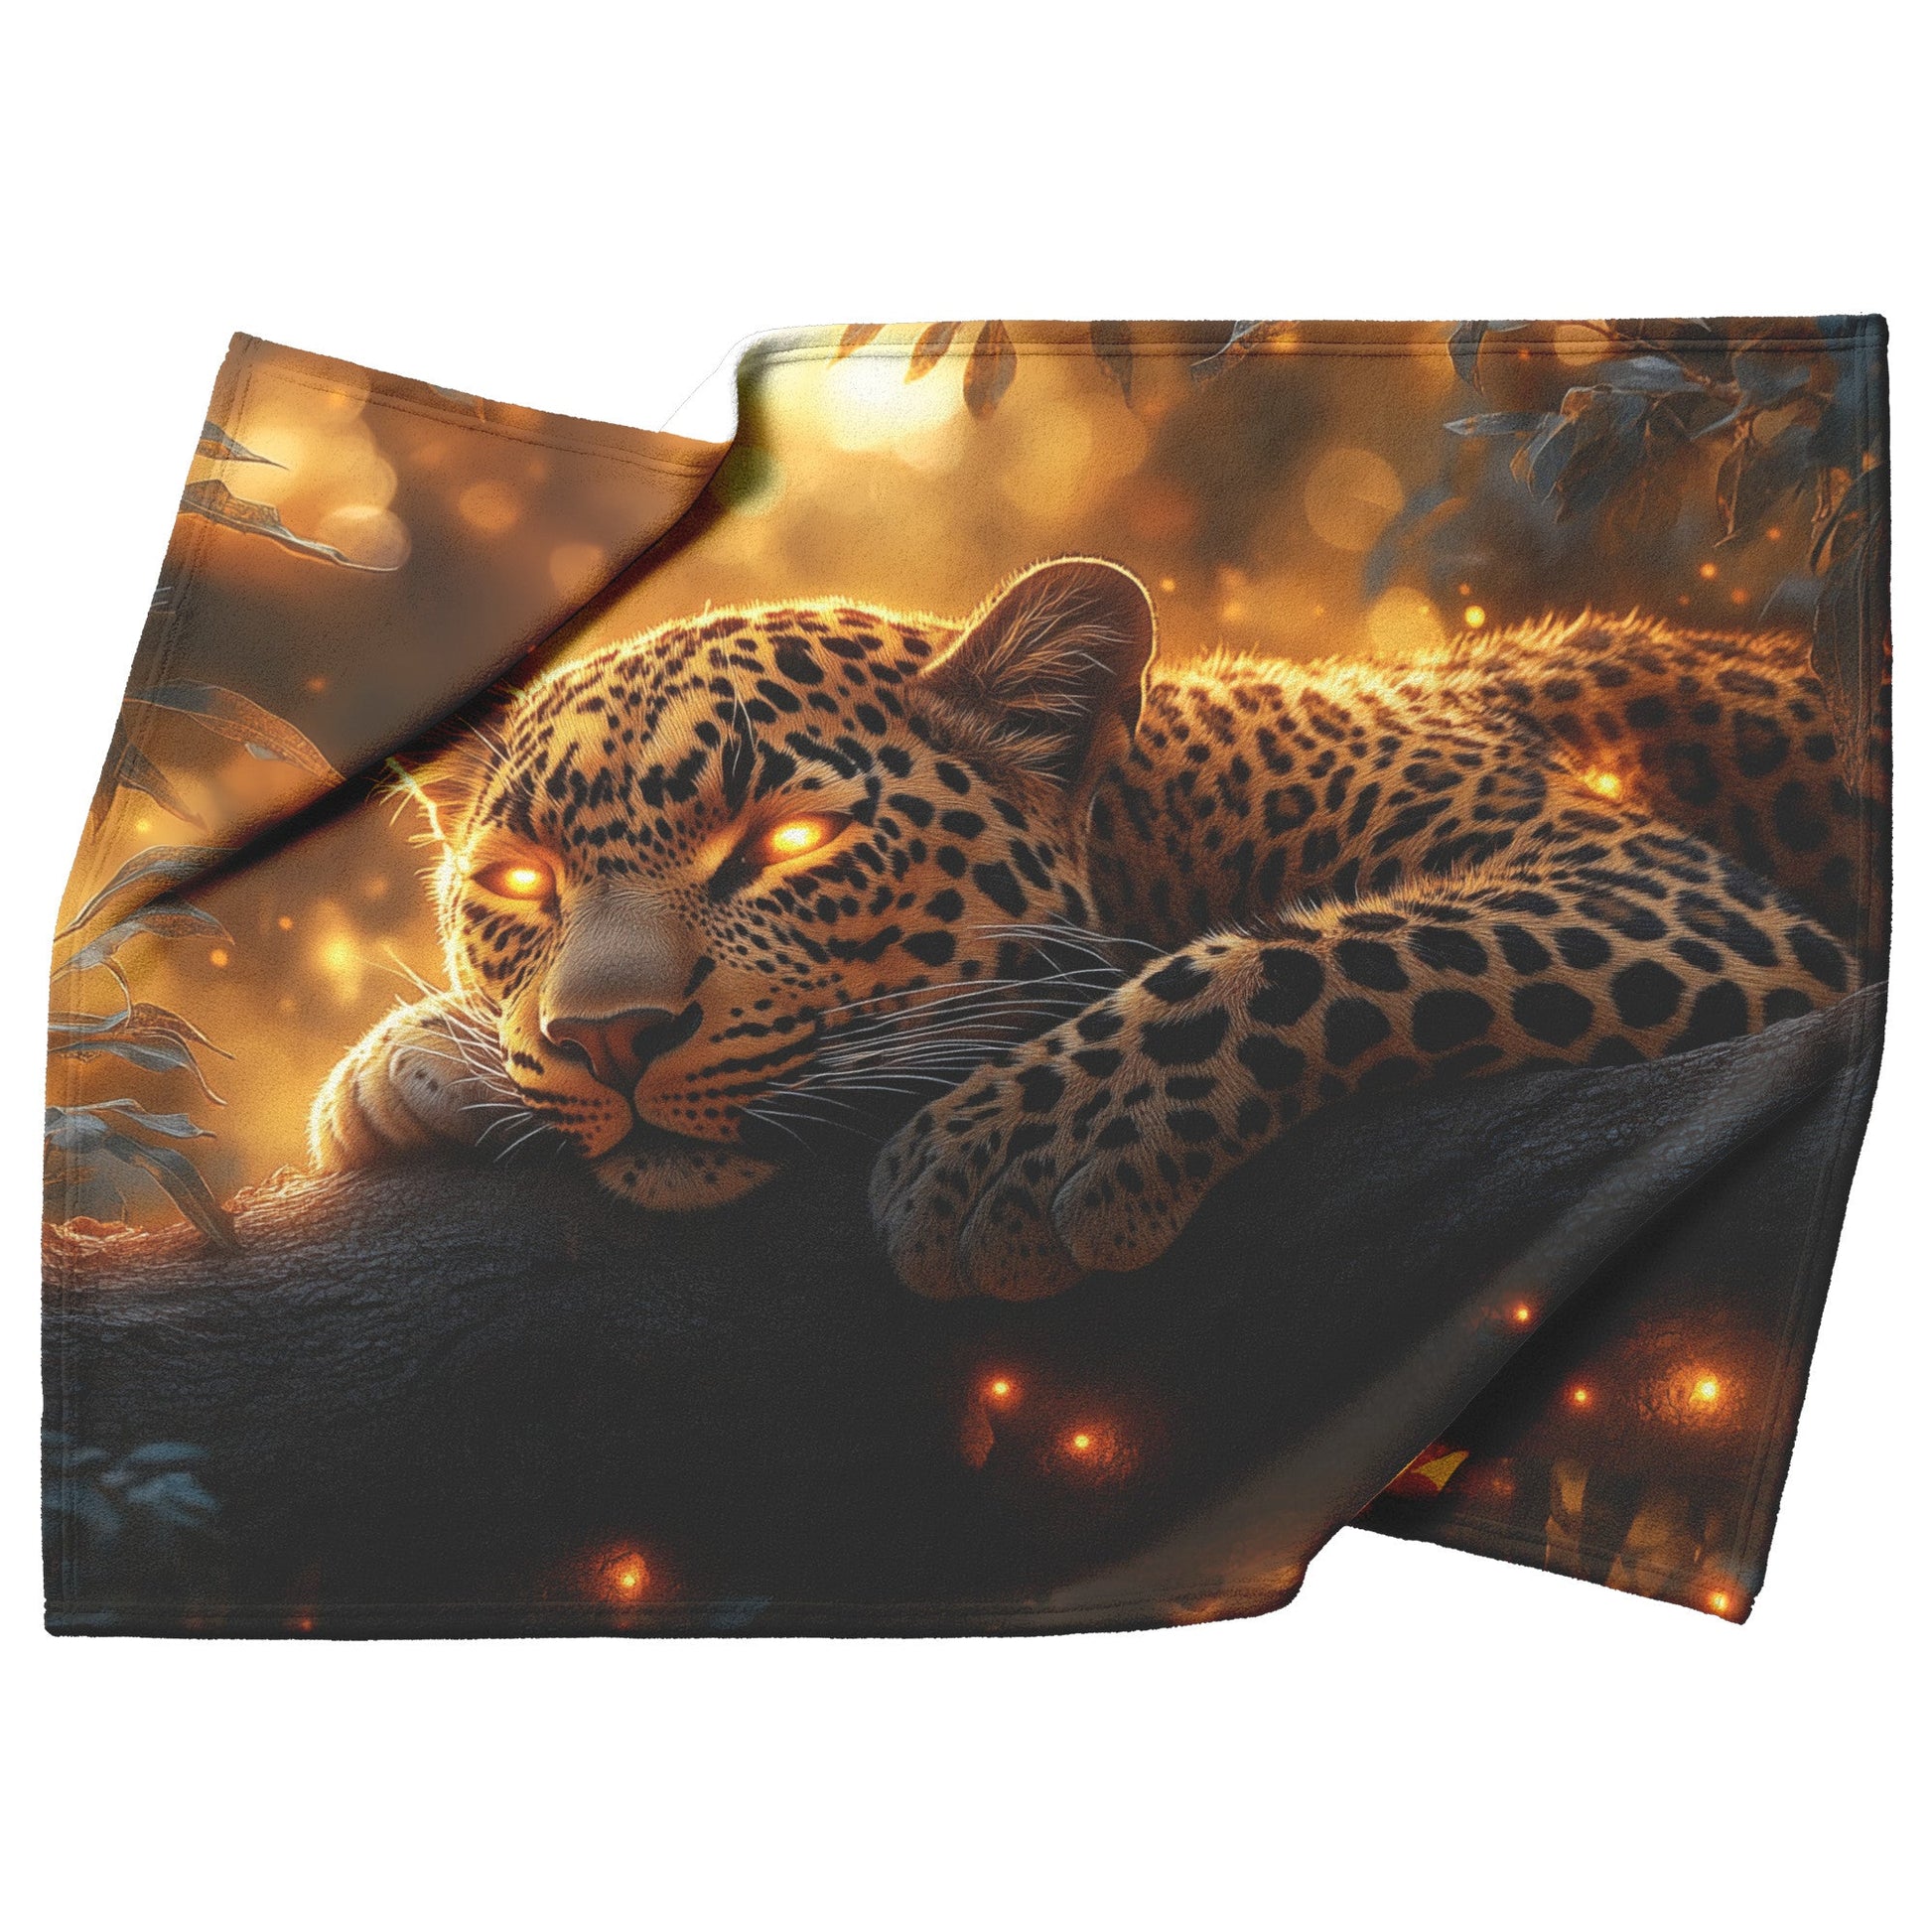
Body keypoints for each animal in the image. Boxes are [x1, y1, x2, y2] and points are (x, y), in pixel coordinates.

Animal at [309, 555, 1871, 1300]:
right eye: (518, 884)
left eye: (787, 845)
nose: (610, 1037)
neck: (1167, 822)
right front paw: (404, 1066)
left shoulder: (1650, 885)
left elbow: (1306, 949)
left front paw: (1016, 1149)